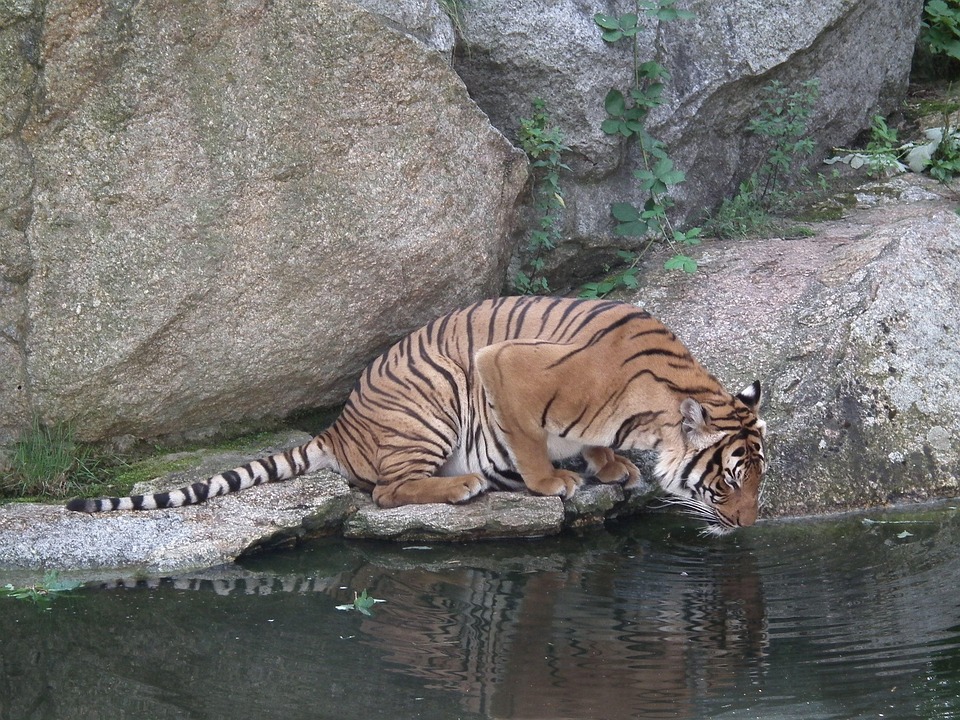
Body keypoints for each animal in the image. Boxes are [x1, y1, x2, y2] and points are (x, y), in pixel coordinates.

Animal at [66, 296, 767, 535]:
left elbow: (590, 441)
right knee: (384, 491)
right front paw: (554, 482)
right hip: (433, 402)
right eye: (729, 480)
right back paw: (463, 486)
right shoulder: (503, 362)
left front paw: (610, 464)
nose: (749, 525)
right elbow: (531, 439)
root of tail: (337, 426)